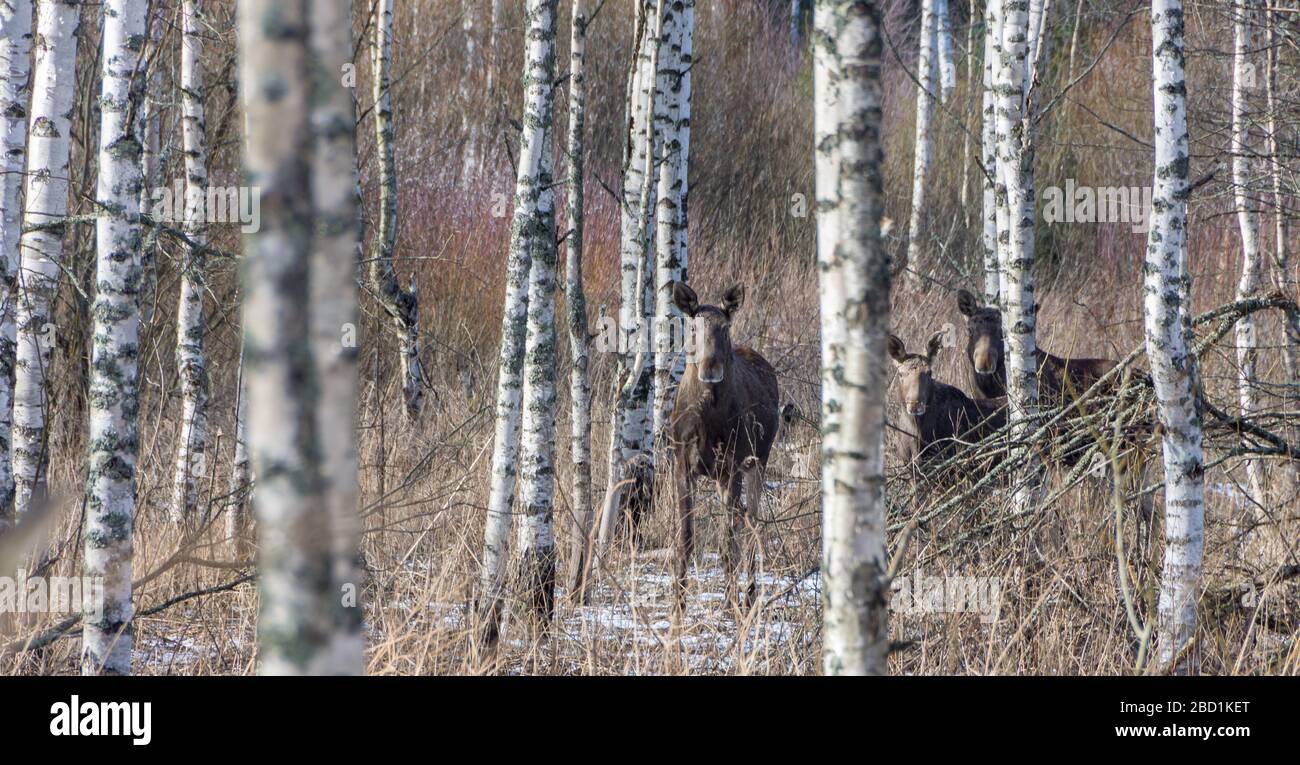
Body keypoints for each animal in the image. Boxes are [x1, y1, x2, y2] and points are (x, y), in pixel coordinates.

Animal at [667, 281, 779, 608]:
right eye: (694, 327)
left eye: (725, 328)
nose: (711, 368)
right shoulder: (682, 464)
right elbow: (686, 538)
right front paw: (678, 603)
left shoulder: (733, 465)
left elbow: (726, 541)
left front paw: (729, 605)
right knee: (741, 520)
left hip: (758, 460)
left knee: (752, 521)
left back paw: (750, 594)